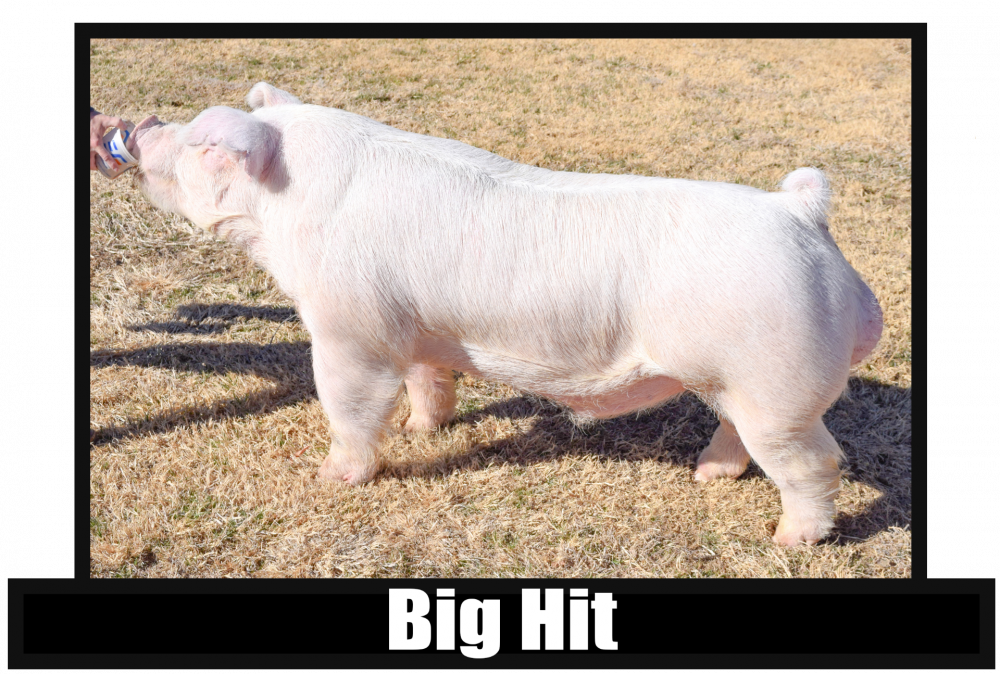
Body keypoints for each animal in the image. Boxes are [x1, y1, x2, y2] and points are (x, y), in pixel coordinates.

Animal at [125, 82, 883, 546]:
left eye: (202, 144)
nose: (140, 128)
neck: (285, 217)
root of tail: (800, 212)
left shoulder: (349, 325)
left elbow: (349, 403)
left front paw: (332, 478)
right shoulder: (416, 328)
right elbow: (428, 378)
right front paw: (424, 429)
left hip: (777, 382)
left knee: (816, 464)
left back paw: (789, 541)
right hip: (735, 381)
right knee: (737, 434)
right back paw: (707, 475)